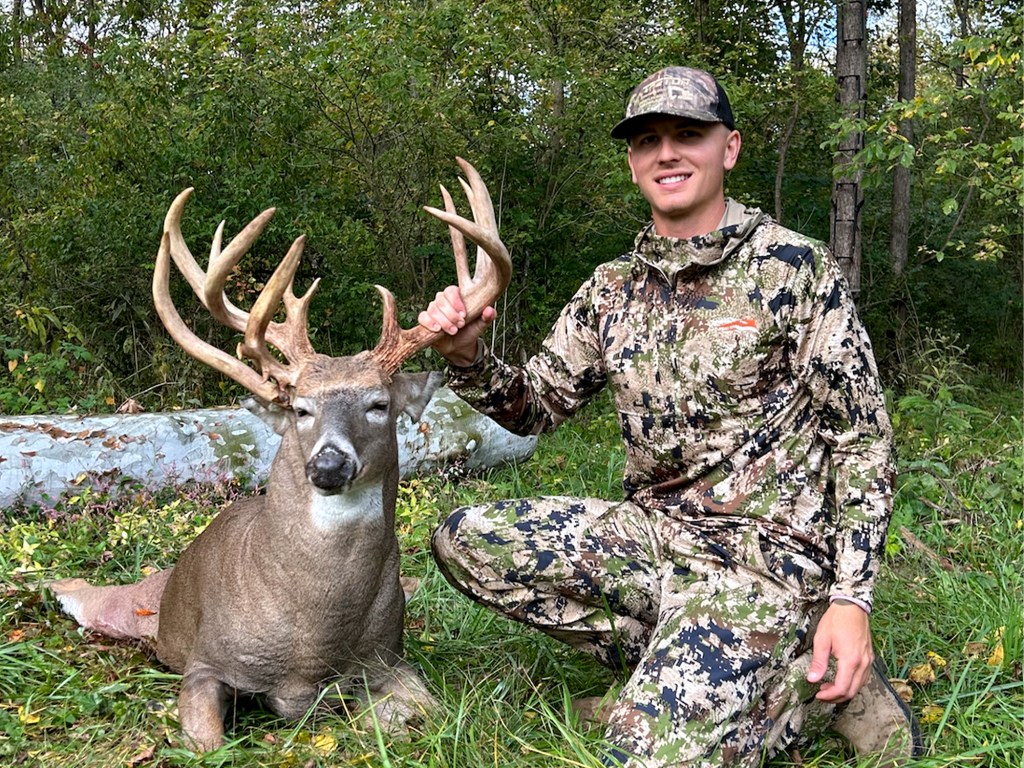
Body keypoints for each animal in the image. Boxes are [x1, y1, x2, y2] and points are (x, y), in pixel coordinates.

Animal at [49, 158, 511, 751]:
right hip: (136, 604)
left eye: (379, 404)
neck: (312, 641)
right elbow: (208, 742)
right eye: (300, 409)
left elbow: (423, 713)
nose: (329, 464)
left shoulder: (388, 661)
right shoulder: (204, 664)